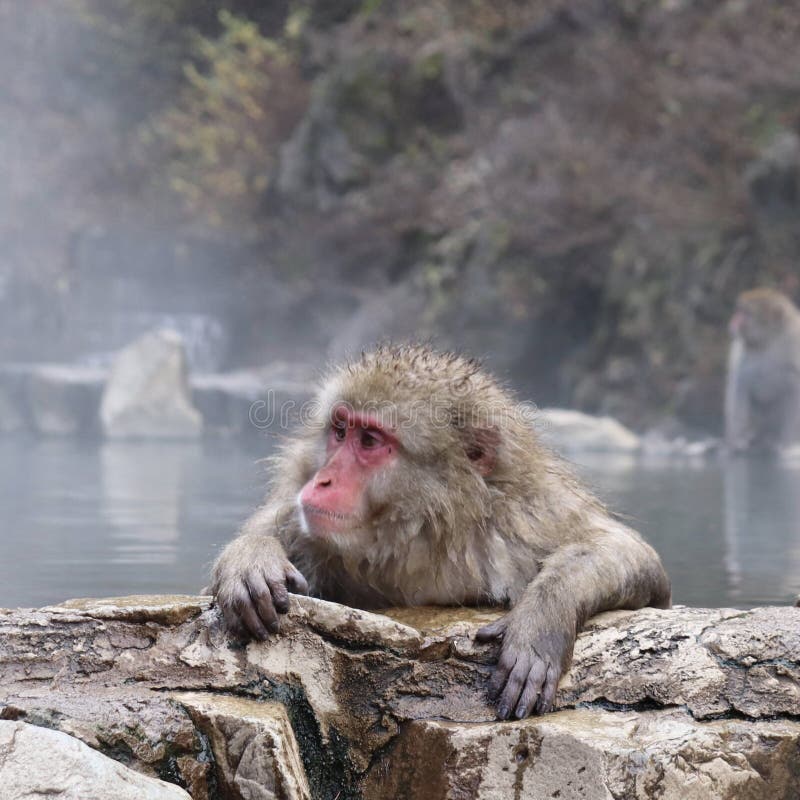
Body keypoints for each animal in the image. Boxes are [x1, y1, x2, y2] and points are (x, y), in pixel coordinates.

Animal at [212, 344, 671, 719]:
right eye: (340, 431)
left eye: (370, 440)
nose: (321, 481)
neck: (428, 527)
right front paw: (252, 559)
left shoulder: (529, 516)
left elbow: (629, 553)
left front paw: (540, 623)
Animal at [725, 288, 800, 454]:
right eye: (739, 310)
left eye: (746, 313)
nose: (733, 321)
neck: (769, 341)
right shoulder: (742, 355)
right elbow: (741, 389)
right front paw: (737, 441)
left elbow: (794, 392)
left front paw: (787, 444)